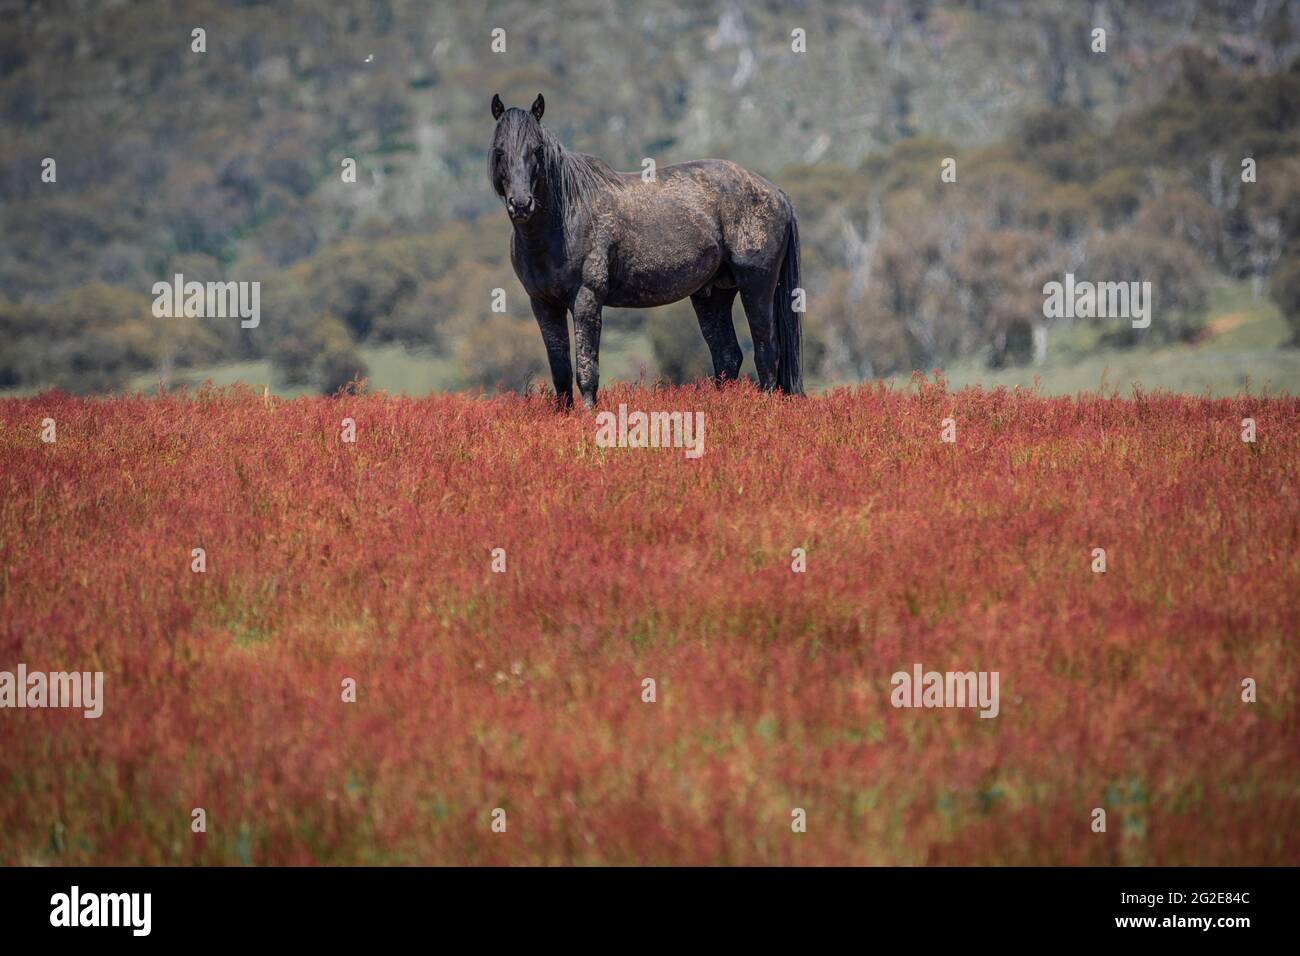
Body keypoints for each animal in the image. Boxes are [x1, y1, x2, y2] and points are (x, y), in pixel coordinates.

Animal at [488, 93, 804, 409]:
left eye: (537, 149)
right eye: (499, 150)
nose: (521, 204)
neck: (567, 217)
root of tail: (777, 194)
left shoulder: (586, 298)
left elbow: (587, 369)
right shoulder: (543, 304)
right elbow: (561, 372)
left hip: (756, 286)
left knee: (766, 351)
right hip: (713, 294)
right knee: (727, 355)